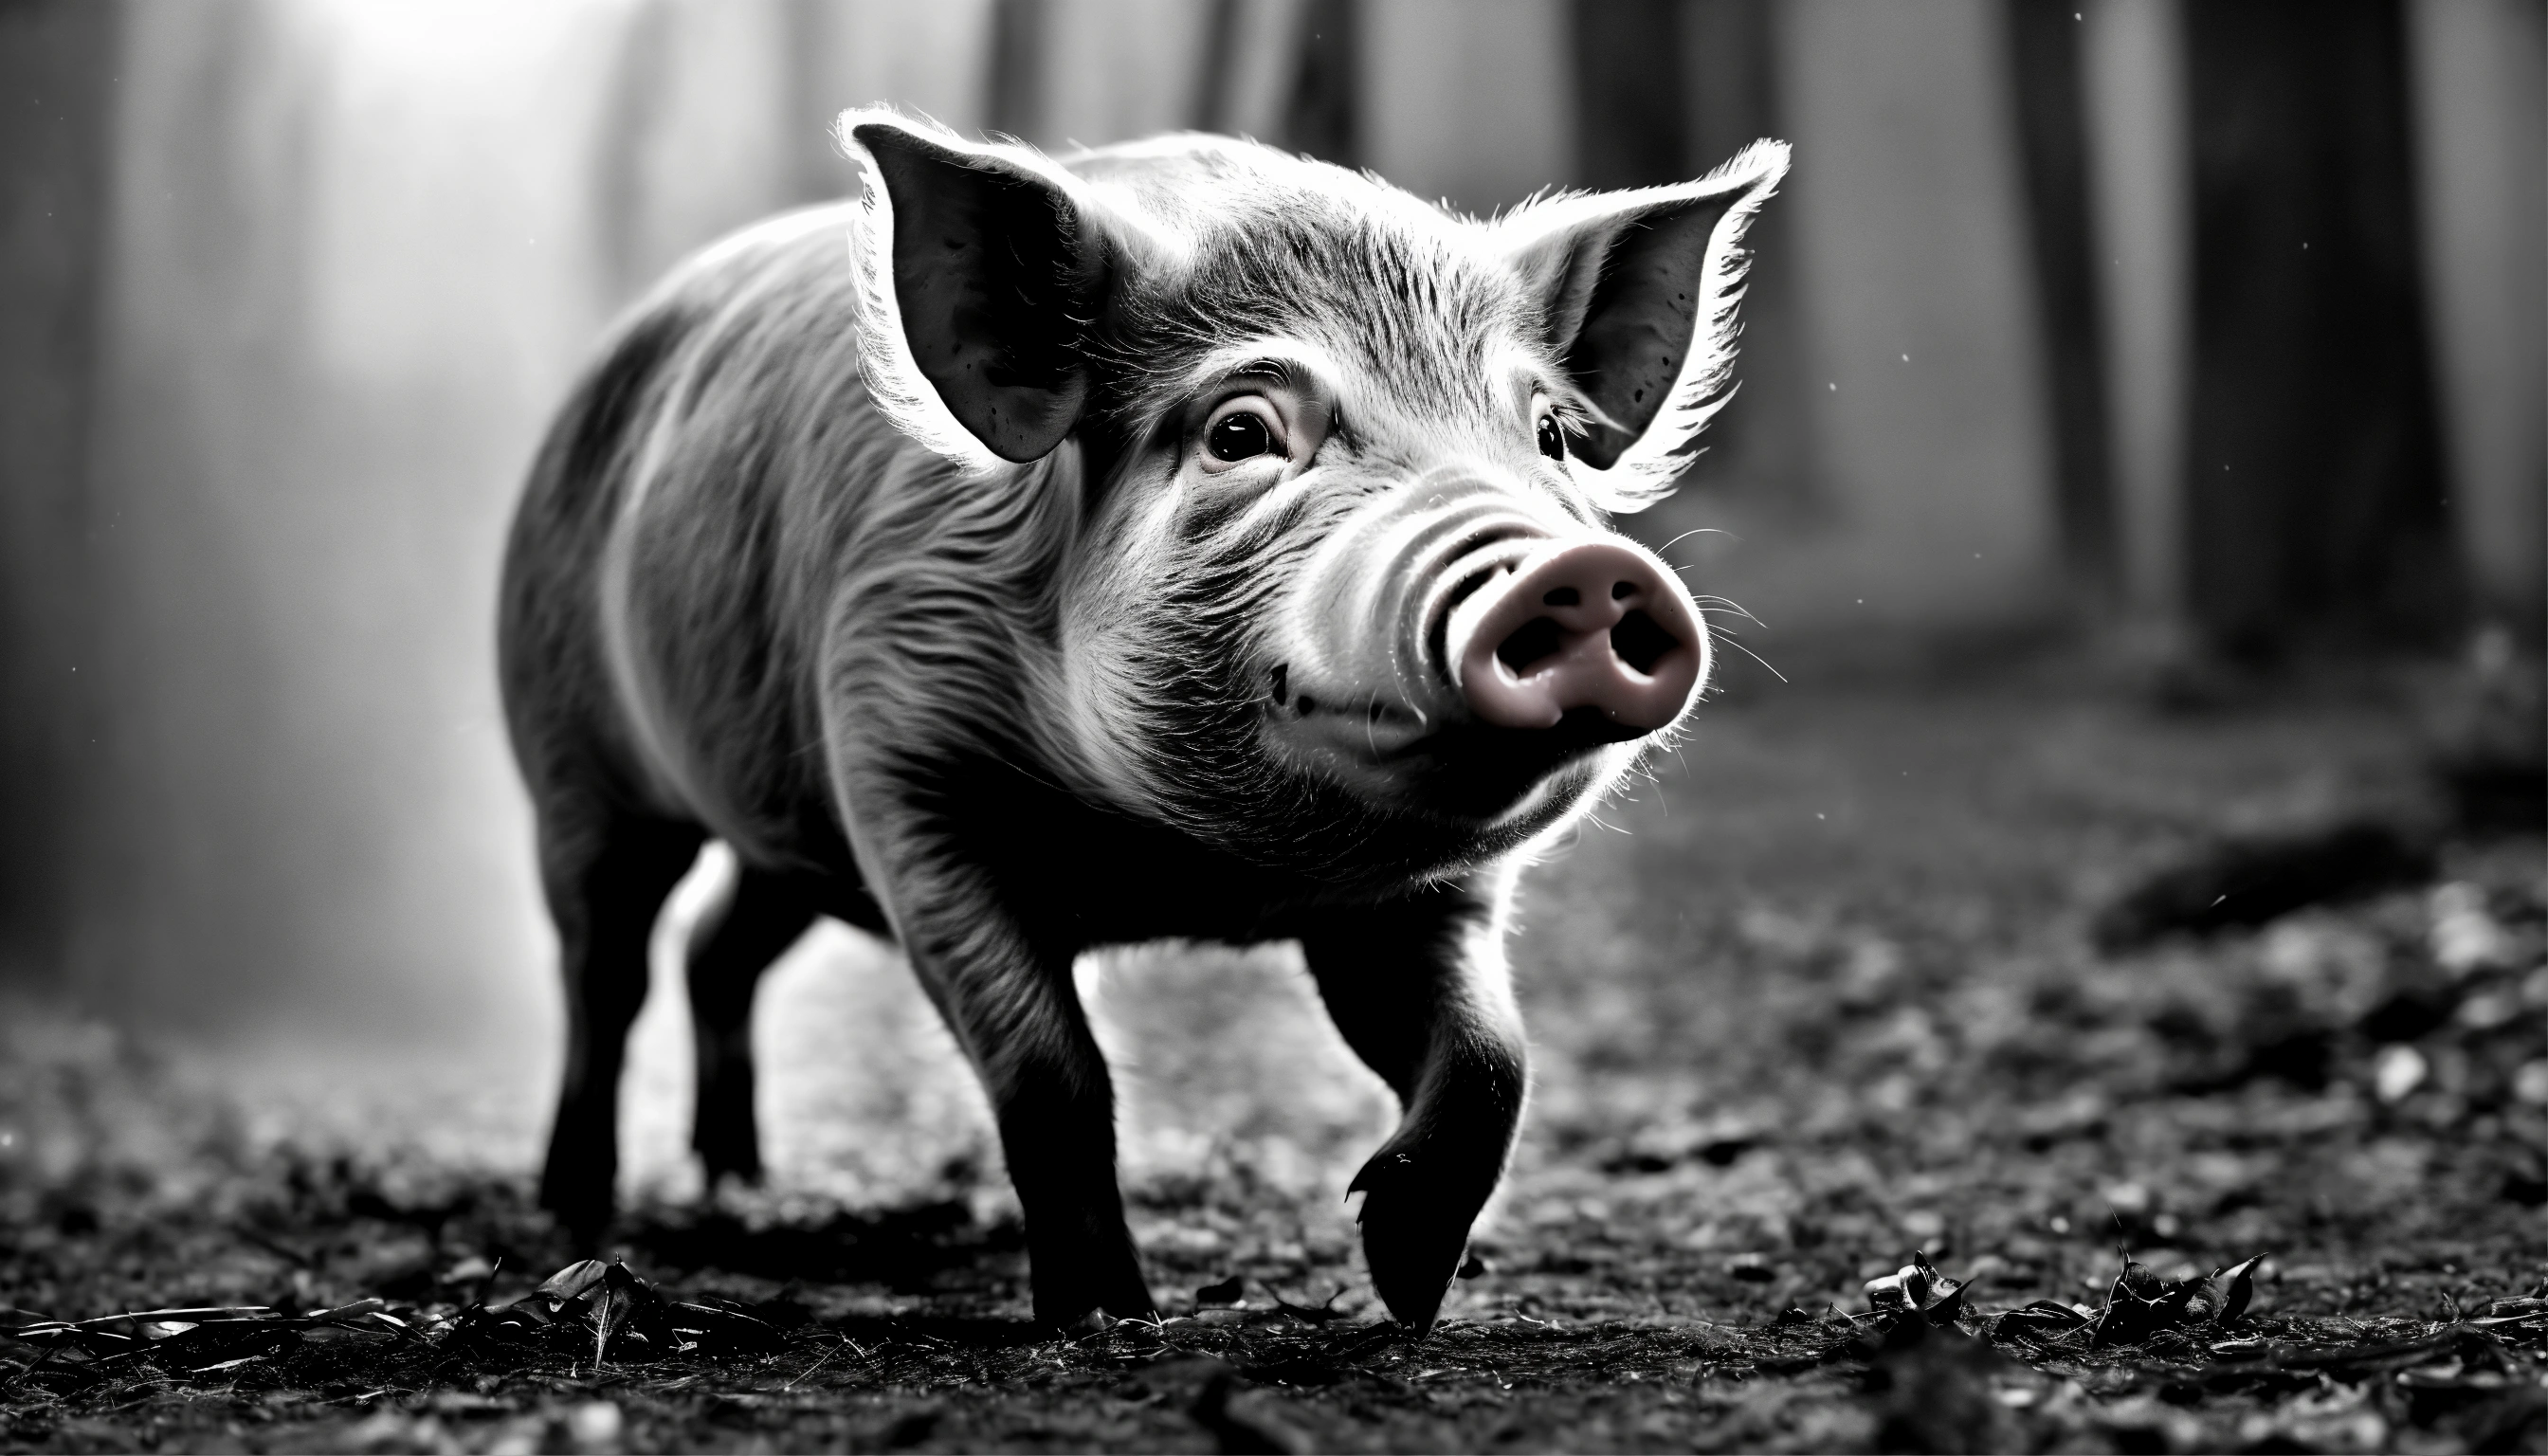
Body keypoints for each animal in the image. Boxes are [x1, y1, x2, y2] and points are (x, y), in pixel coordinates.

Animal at [498, 110, 1786, 1332]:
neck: (1185, 872)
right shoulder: (899, 752)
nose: (1579, 570)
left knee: (718, 949)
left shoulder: (1422, 897)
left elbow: (1488, 1058)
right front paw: (1114, 1316)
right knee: (604, 966)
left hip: (784, 835)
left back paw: (742, 1182)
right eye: (1240, 434)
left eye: (1550, 436)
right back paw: (579, 1203)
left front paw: (1408, 1289)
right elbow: (1051, 1070)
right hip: (572, 759)